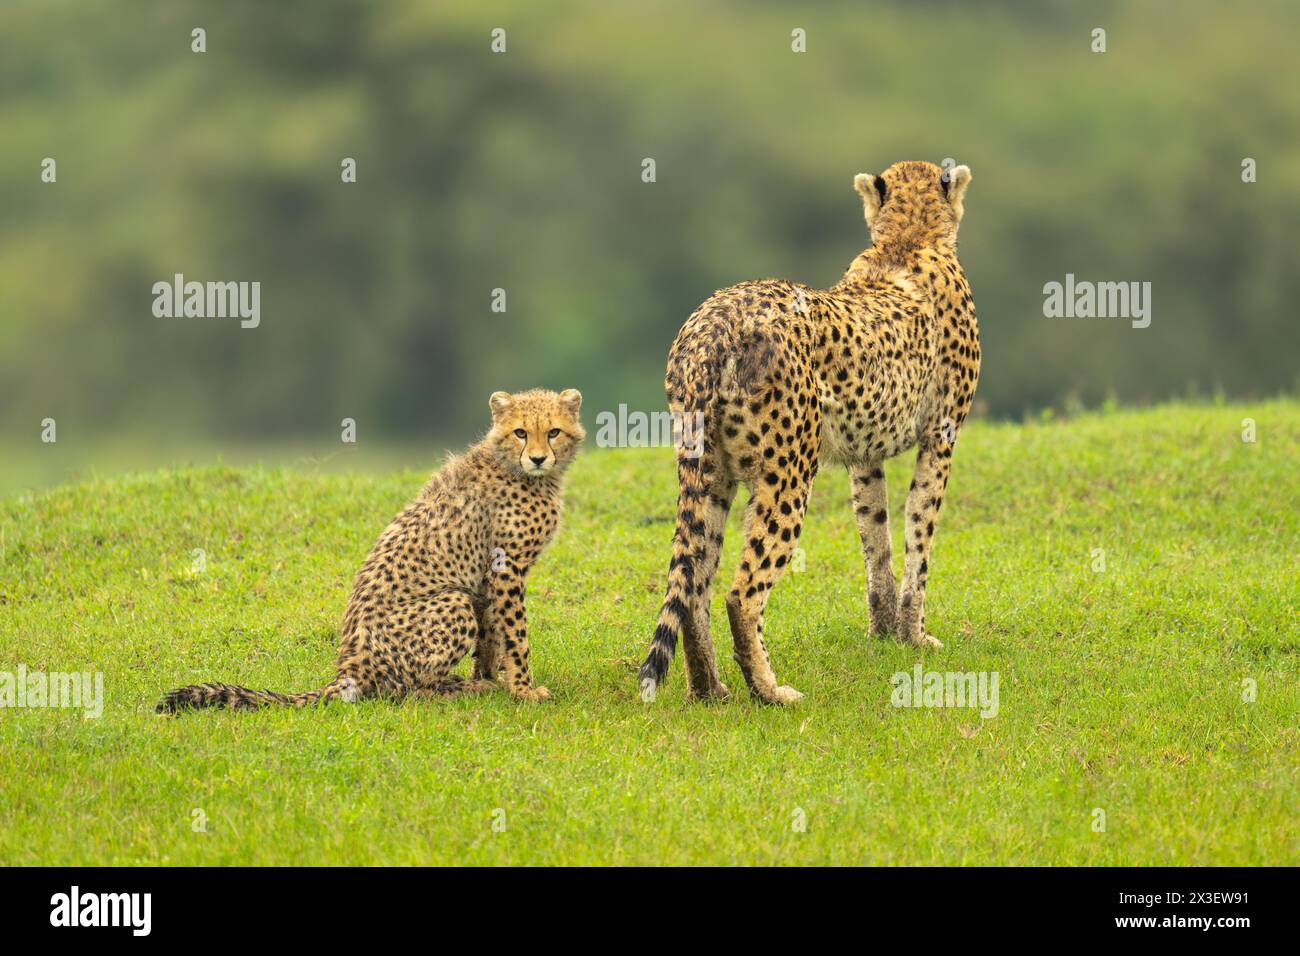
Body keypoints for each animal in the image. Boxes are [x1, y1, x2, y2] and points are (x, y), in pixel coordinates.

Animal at [157, 388, 585, 713]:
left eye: (553, 432)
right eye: (520, 432)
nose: (538, 458)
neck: (519, 470)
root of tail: (348, 668)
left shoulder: (487, 580)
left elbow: (491, 636)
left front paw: (495, 677)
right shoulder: (506, 567)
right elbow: (515, 634)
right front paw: (523, 689)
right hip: (451, 602)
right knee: (406, 690)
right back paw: (462, 690)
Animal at [637, 160, 979, 705]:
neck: (907, 237)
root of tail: (713, 322)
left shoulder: (865, 456)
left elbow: (876, 541)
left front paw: (883, 633)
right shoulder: (941, 438)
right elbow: (918, 538)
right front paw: (915, 635)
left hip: (709, 475)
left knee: (693, 585)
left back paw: (709, 689)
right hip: (789, 472)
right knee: (741, 592)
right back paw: (769, 691)